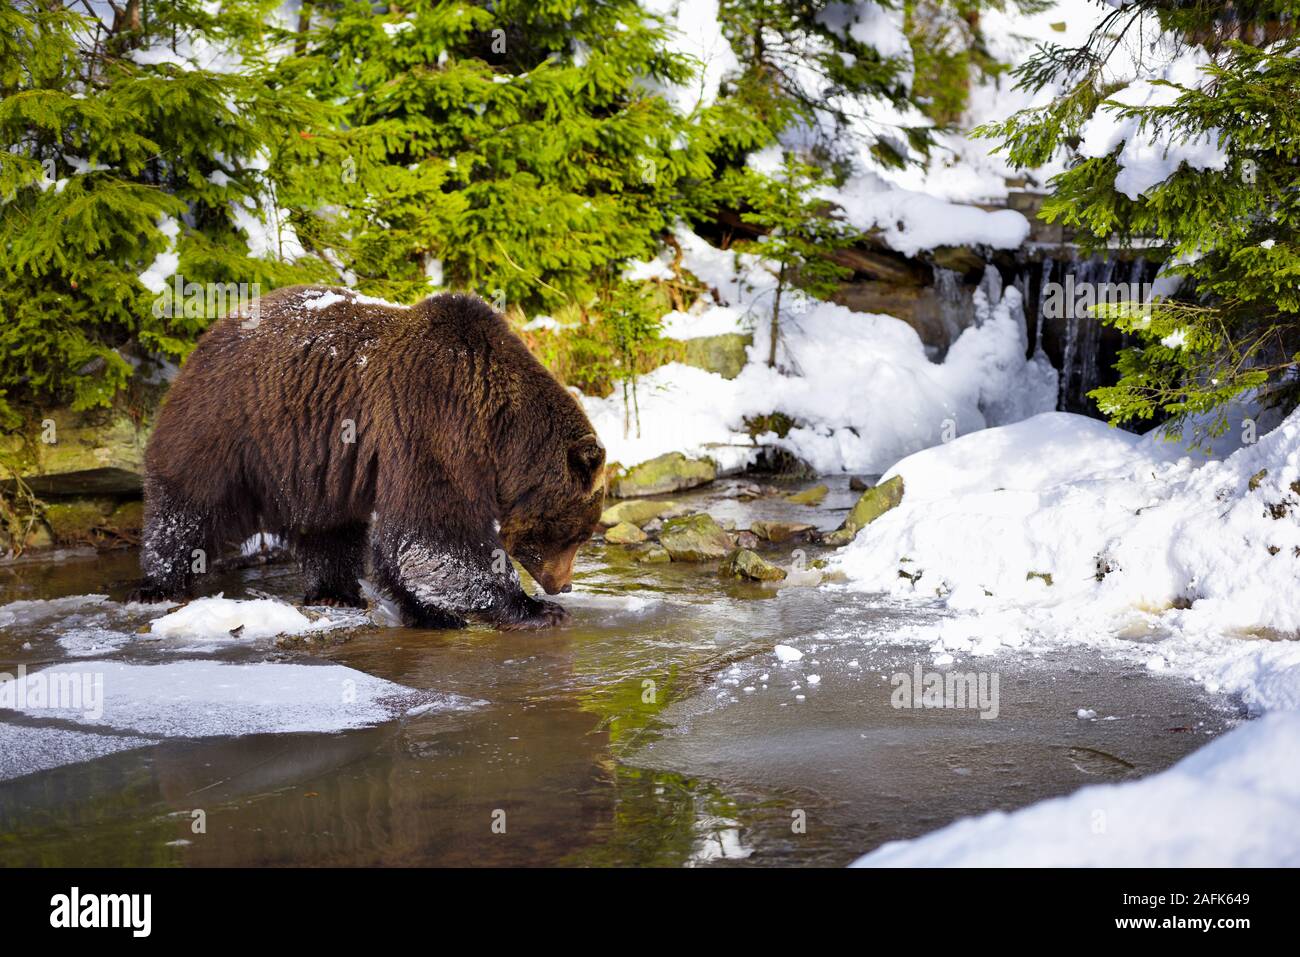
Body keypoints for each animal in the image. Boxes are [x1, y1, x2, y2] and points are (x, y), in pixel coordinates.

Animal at [134, 285, 605, 630]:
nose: (563, 585)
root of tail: (212, 329)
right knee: (188, 507)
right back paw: (158, 584)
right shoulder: (434, 421)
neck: (497, 434)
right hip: (227, 425)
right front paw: (533, 609)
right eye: (578, 533)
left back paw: (335, 590)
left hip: (312, 464)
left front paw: (428, 612)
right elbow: (437, 531)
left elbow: (411, 539)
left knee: (330, 528)